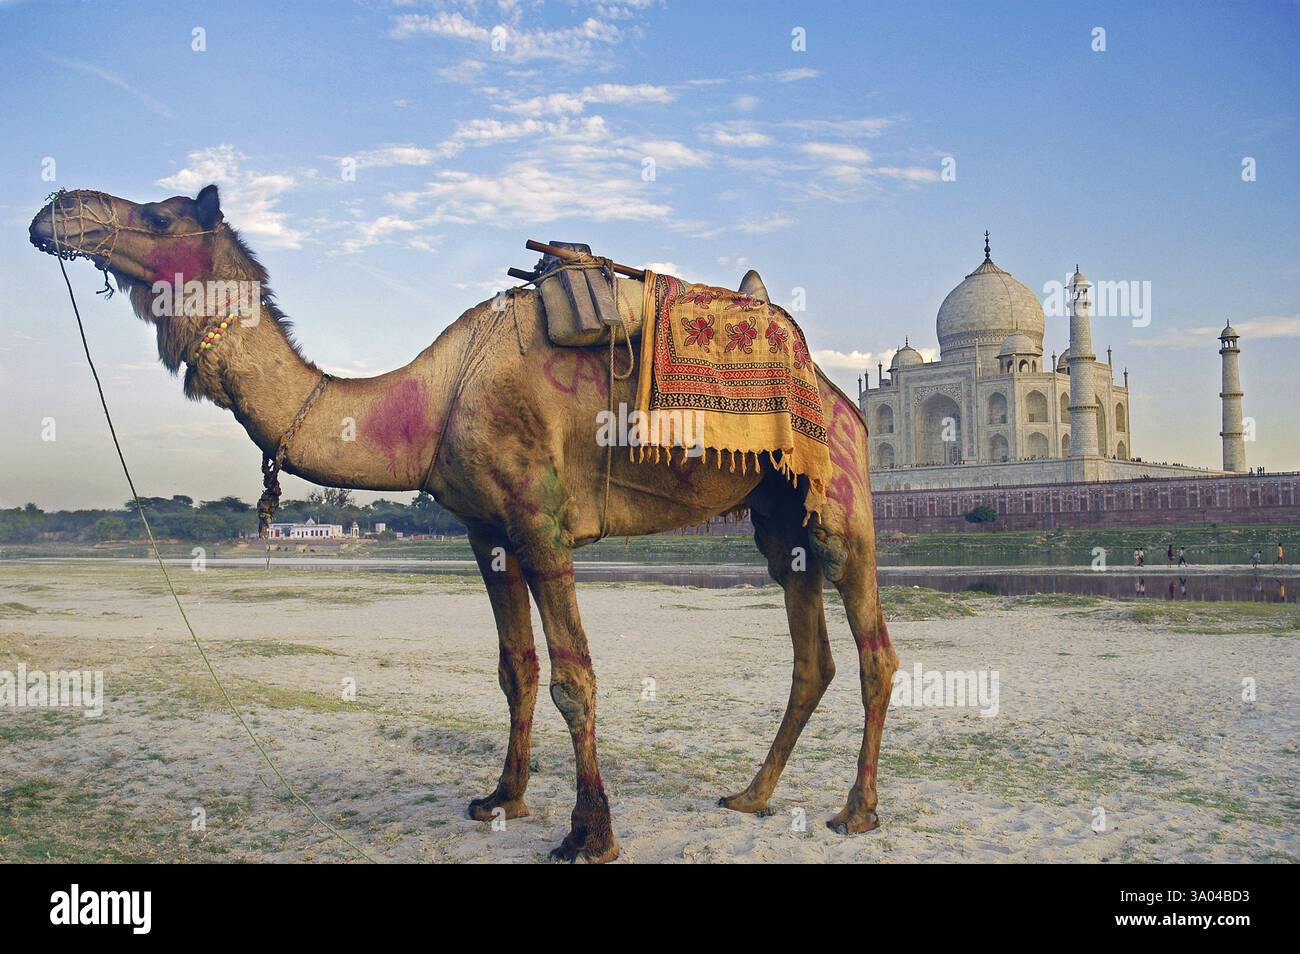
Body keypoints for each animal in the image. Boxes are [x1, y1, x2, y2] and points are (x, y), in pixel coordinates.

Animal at [29, 186, 899, 863]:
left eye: (159, 214)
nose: (55, 210)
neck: (436, 397)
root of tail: (838, 394)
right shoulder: (488, 534)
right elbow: (518, 669)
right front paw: (501, 798)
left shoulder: (540, 522)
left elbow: (576, 678)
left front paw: (590, 833)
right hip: (778, 511)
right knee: (810, 652)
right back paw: (752, 795)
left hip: (841, 496)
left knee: (873, 650)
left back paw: (855, 811)